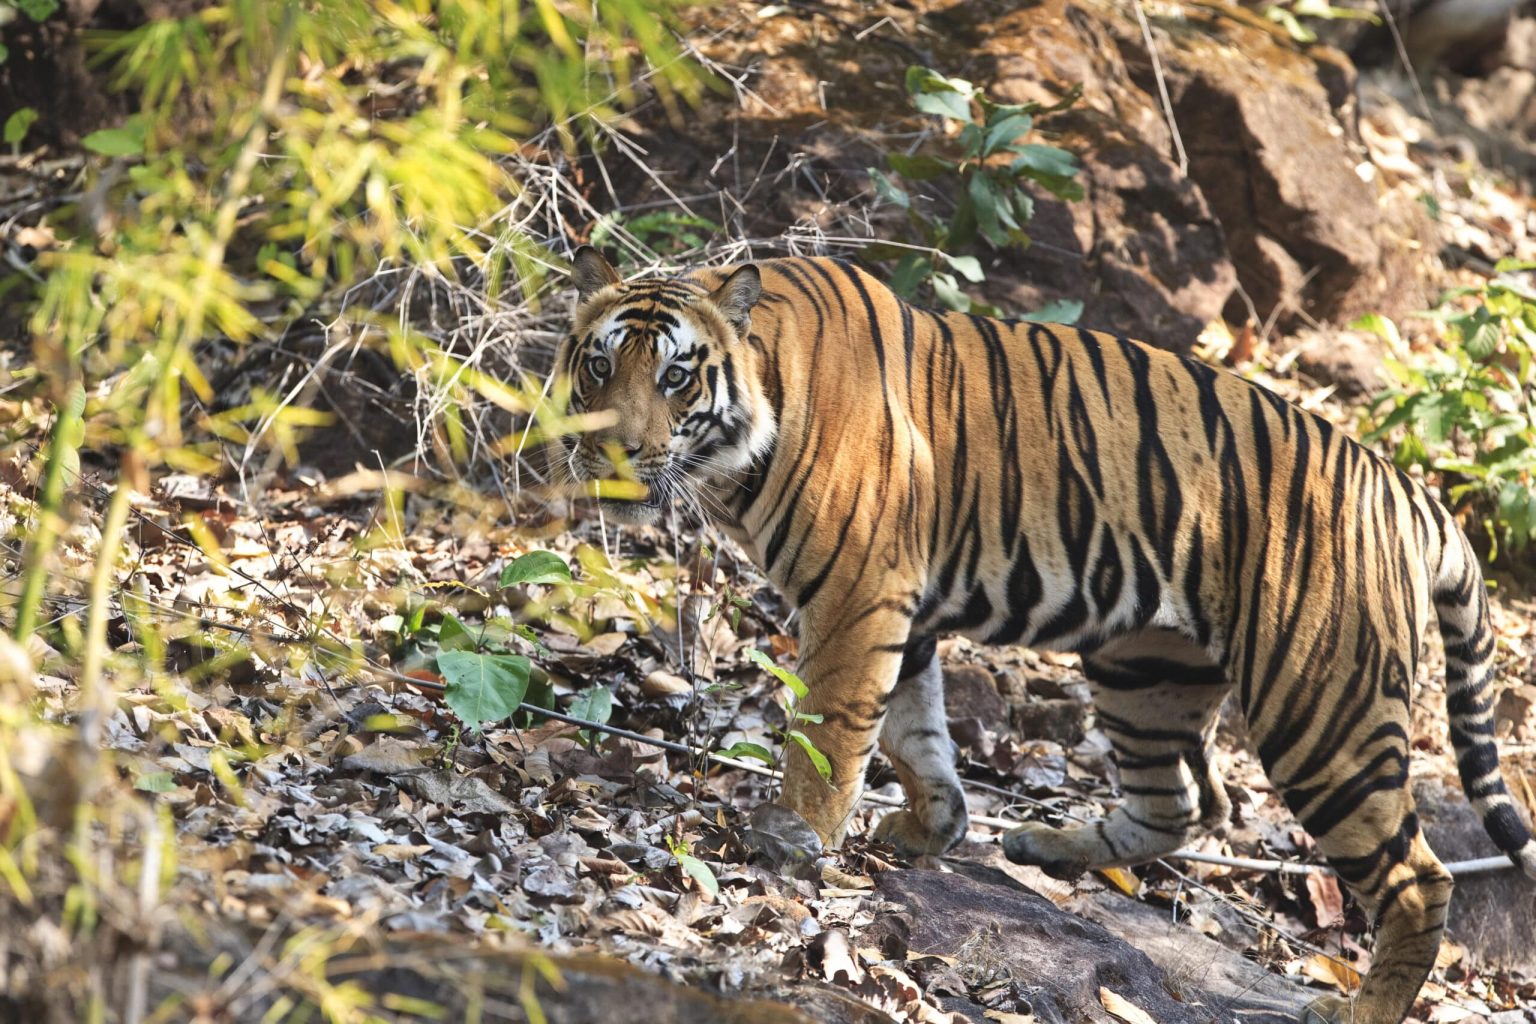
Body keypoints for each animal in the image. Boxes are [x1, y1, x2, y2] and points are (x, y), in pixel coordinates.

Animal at [552, 246, 1536, 1024]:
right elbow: (912, 729)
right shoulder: (898, 607)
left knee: (1418, 879)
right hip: (1146, 668)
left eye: (675, 377)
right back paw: (1043, 846)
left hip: (1320, 710)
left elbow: (832, 733)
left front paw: (792, 839)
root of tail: (1405, 487)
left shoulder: (858, 597)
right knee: (1187, 804)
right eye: (599, 367)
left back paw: (1356, 1009)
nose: (610, 447)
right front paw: (934, 826)